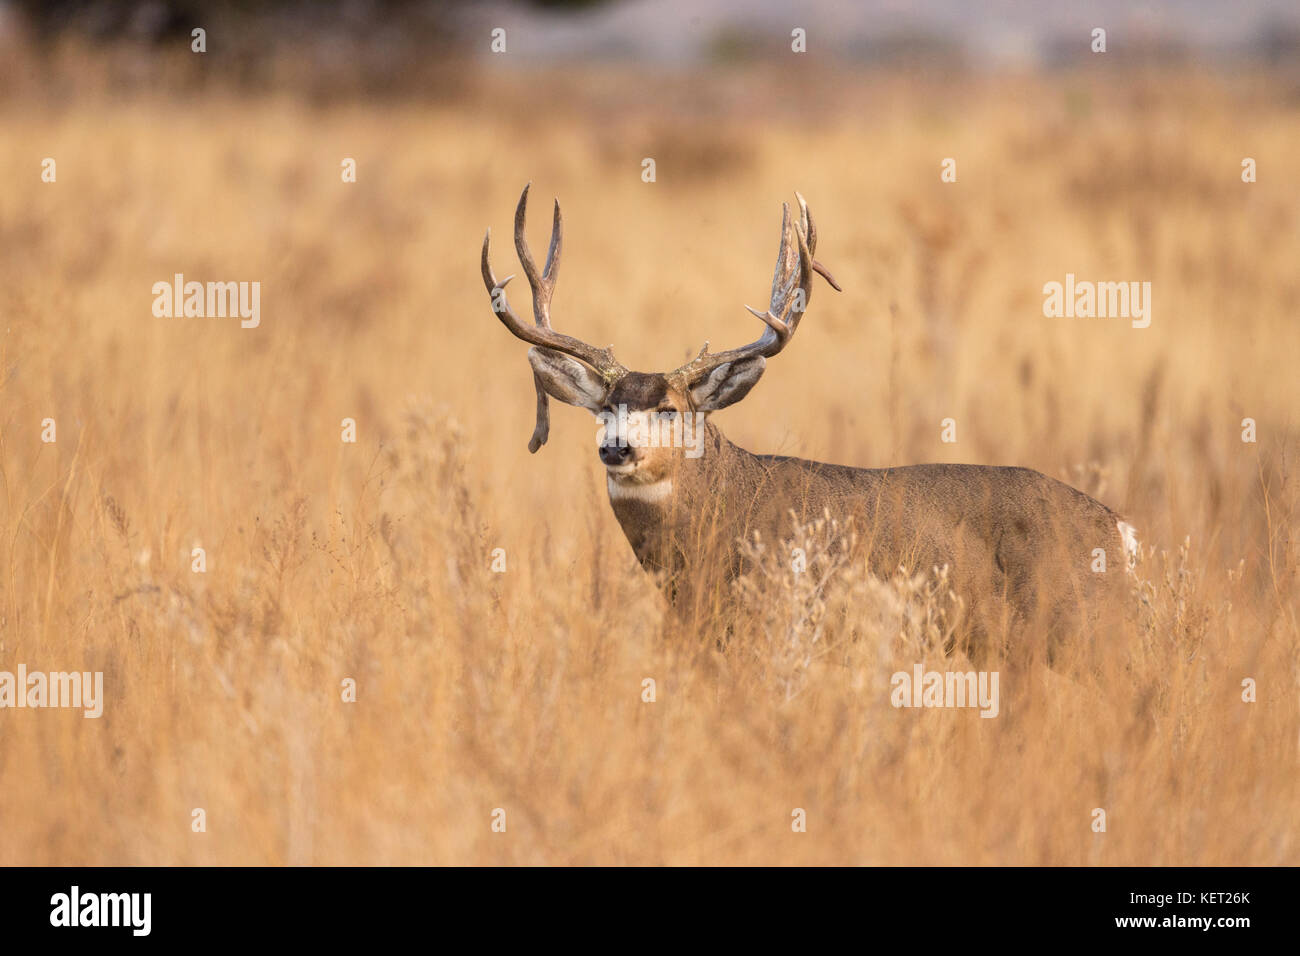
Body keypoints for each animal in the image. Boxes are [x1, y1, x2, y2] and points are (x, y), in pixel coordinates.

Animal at [481, 184, 1138, 660]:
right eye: (604, 408)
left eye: (670, 408)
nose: (616, 449)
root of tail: (1122, 532)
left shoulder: (794, 620)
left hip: (1083, 633)